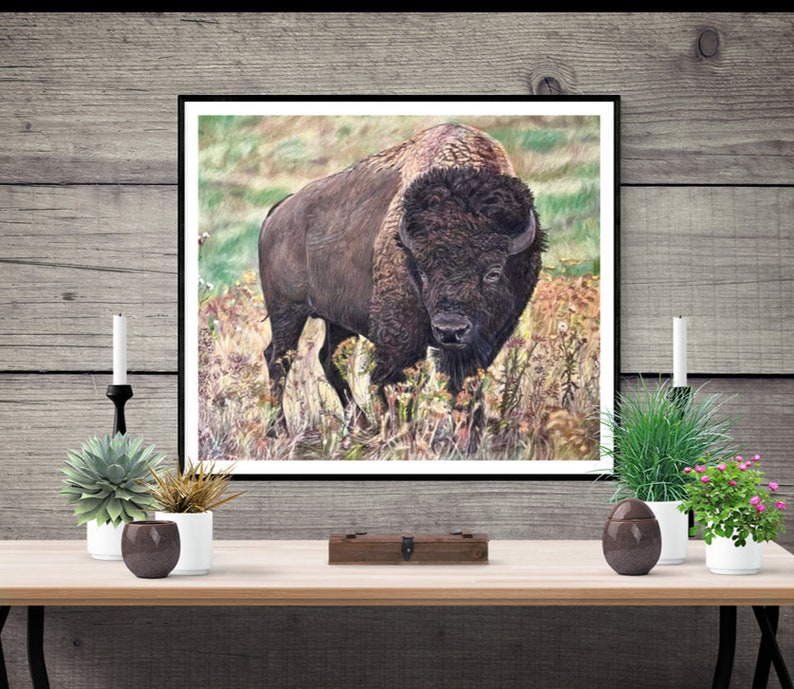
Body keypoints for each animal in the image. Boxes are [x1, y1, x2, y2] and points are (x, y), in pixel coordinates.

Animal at [258, 122, 546, 415]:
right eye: (422, 271)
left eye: (493, 272)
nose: (450, 330)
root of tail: (278, 212)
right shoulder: (399, 340)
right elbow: (395, 383)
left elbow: (463, 386)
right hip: (287, 310)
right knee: (279, 359)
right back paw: (279, 424)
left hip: (337, 320)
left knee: (328, 358)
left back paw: (360, 420)